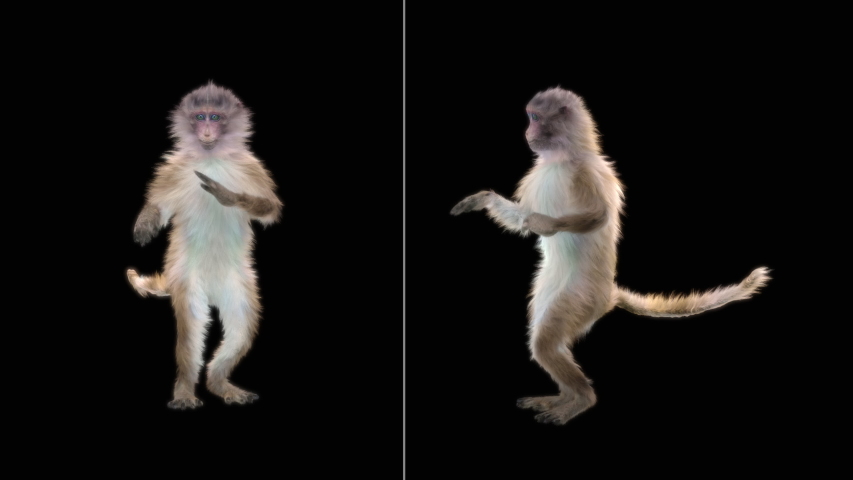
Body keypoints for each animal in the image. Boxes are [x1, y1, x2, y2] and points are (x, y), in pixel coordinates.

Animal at [127, 82, 283, 410]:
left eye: (215, 117)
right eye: (200, 116)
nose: (207, 130)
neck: (211, 158)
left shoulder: (252, 167)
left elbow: (270, 209)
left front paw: (230, 196)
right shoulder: (173, 168)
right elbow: (159, 206)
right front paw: (146, 223)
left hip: (238, 284)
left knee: (241, 328)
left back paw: (219, 382)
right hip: (186, 279)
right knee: (191, 331)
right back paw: (186, 389)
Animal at [450, 87, 770, 425]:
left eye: (534, 118)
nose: (527, 132)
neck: (562, 158)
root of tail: (609, 294)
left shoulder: (584, 173)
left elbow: (598, 216)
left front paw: (544, 225)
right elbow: (521, 217)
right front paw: (482, 199)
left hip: (582, 296)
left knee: (546, 344)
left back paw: (580, 401)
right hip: (551, 293)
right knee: (548, 342)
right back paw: (564, 397)